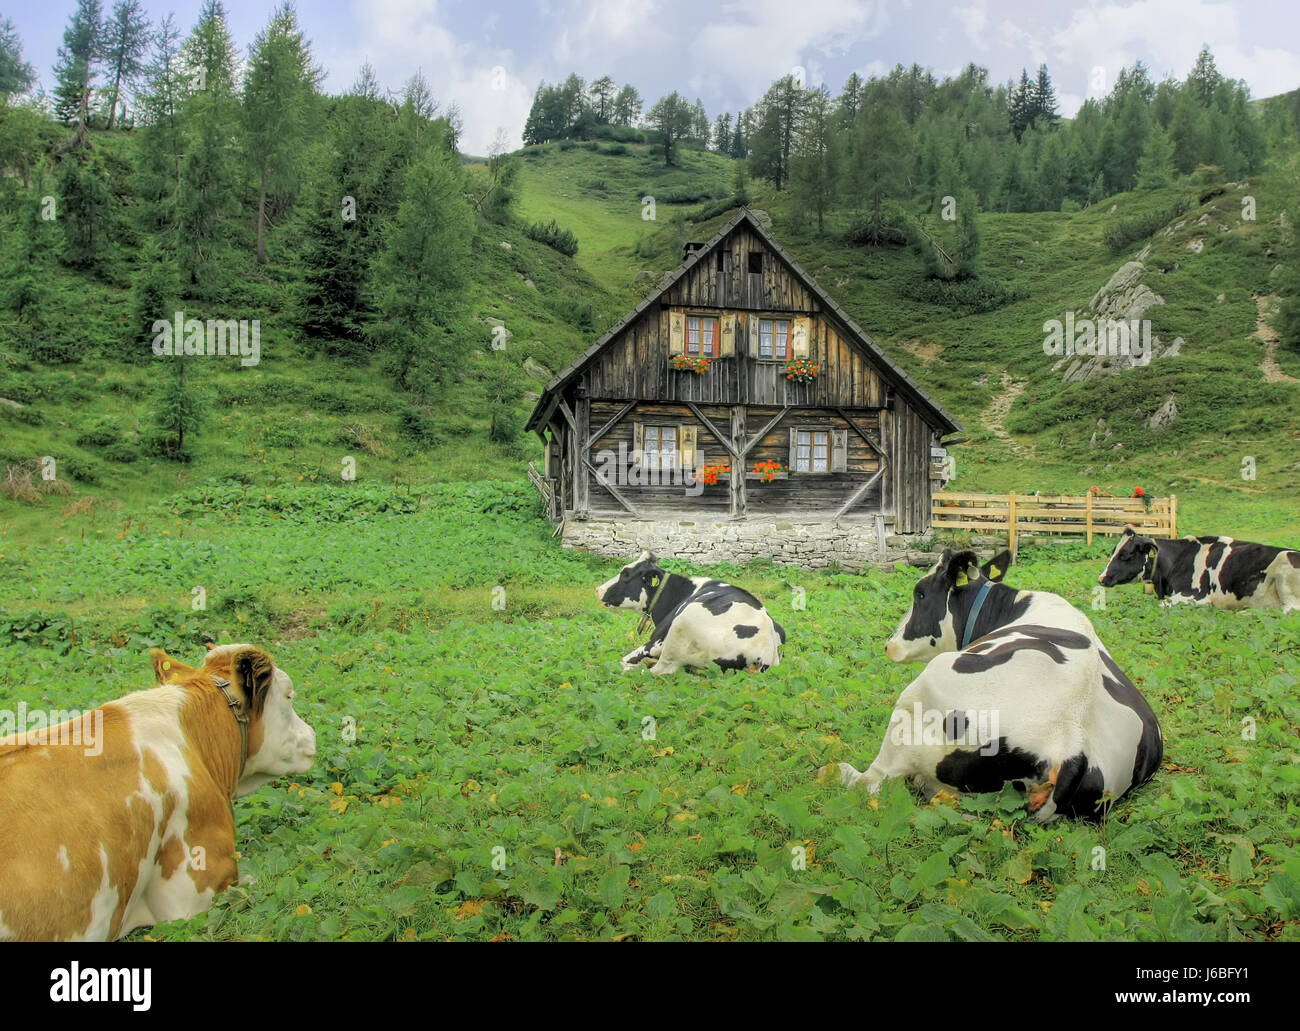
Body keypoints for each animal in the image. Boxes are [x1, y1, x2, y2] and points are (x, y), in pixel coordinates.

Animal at [595, 551, 786, 674]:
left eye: (626, 575)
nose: (598, 590)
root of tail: (764, 650)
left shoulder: (655, 642)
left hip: (680, 628)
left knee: (654, 671)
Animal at [834, 548, 1163, 822]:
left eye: (921, 594)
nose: (889, 645)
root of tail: (1070, 746)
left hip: (918, 696)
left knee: (873, 782)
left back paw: (844, 772)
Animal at [1099, 526, 1300, 612]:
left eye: (1125, 555)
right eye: (1114, 551)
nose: (1101, 578)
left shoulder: (1197, 595)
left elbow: (1163, 605)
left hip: (1285, 575)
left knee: (1288, 611)